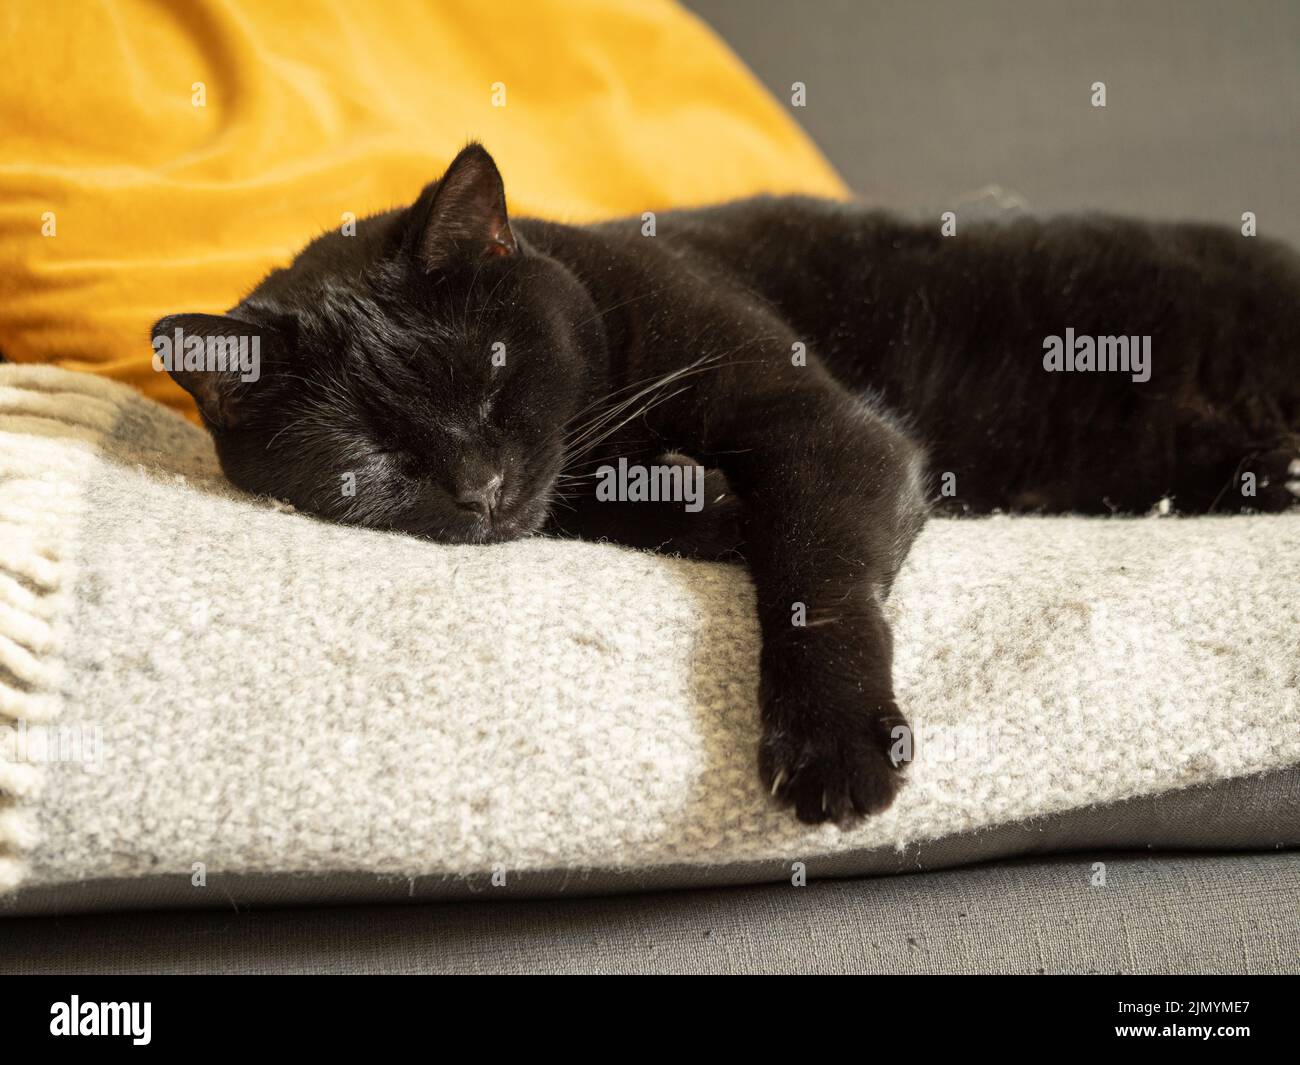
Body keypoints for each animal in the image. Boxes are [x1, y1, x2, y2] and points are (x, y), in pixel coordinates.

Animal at [157, 139, 1300, 827]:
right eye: (370, 462)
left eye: (492, 376)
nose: (480, 486)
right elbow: (651, 504)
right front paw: (690, 498)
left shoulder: (826, 430)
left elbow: (814, 583)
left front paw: (832, 745)